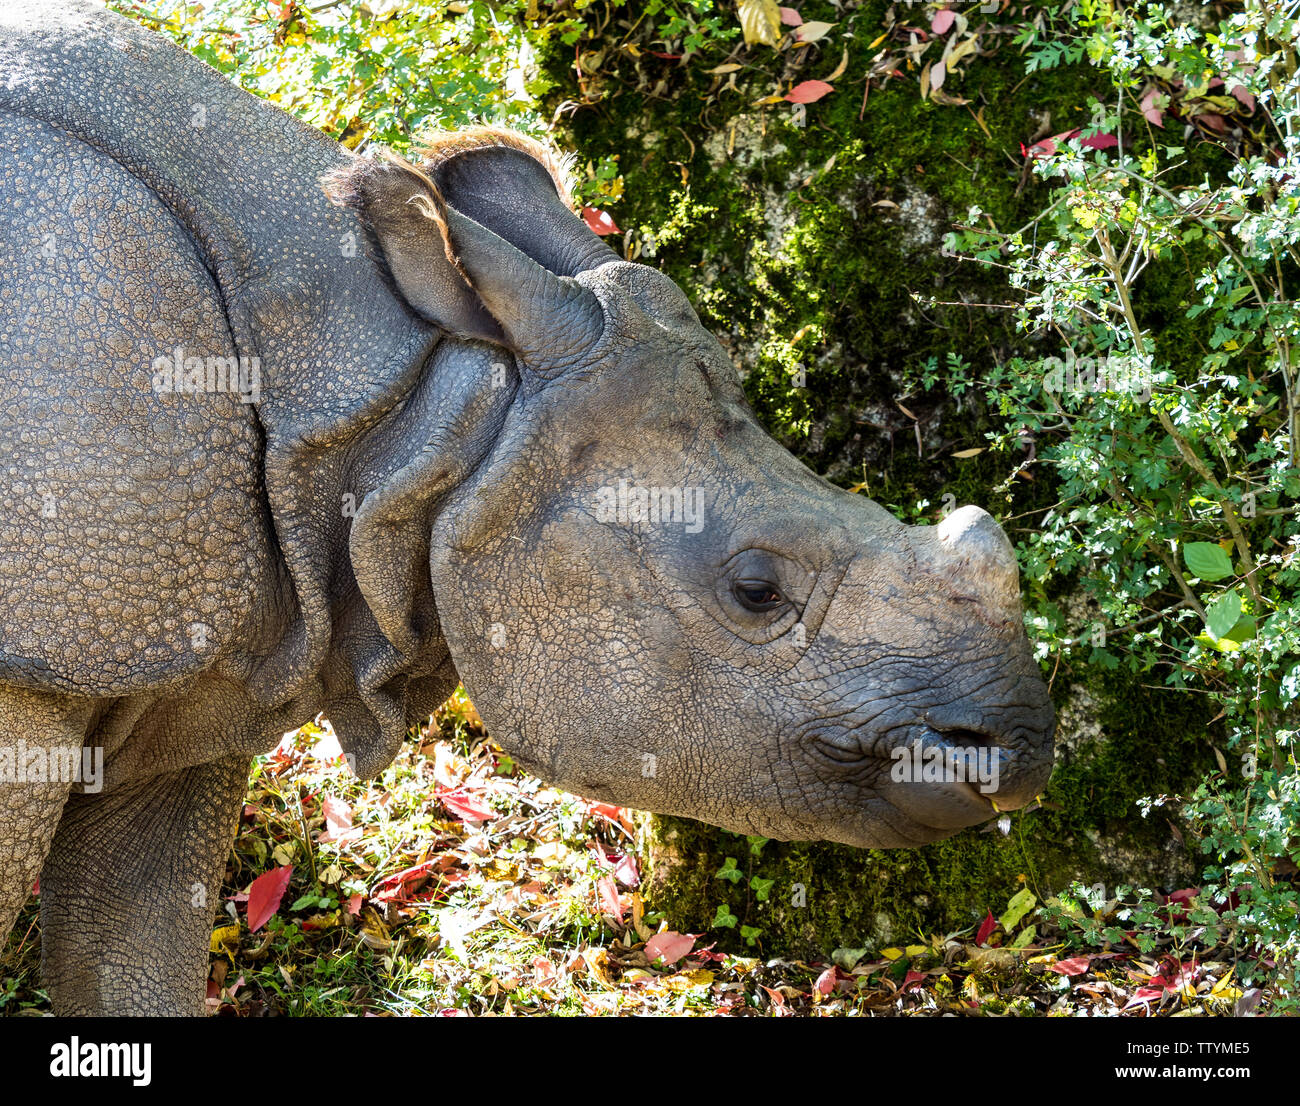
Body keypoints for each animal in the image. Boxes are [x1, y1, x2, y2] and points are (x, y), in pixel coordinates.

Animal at [0, 0, 1054, 1014]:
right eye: (756, 590)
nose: (1019, 749)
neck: (419, 414)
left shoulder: (202, 648)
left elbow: (129, 954)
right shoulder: (46, 661)